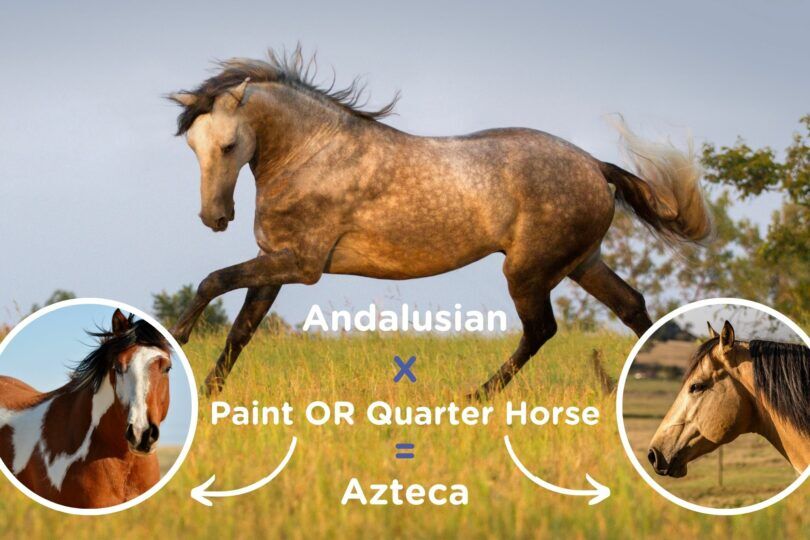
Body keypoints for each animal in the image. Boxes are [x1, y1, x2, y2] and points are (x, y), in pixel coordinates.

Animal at [167, 46, 712, 398]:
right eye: (192, 144)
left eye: (229, 145)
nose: (215, 218)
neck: (313, 155)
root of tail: (596, 166)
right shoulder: (275, 260)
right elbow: (241, 329)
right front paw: (210, 393)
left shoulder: (301, 264)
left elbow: (212, 281)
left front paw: (177, 340)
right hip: (582, 262)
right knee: (633, 307)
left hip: (527, 270)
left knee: (541, 329)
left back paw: (477, 396)